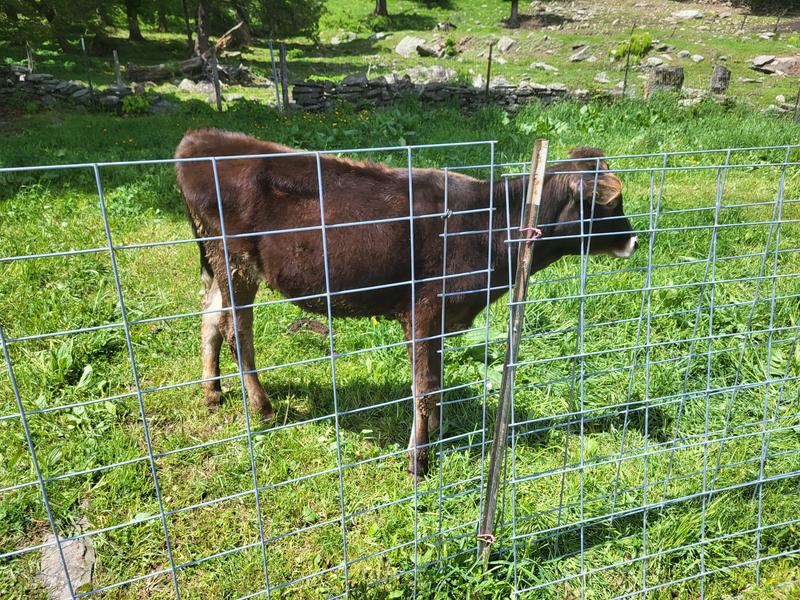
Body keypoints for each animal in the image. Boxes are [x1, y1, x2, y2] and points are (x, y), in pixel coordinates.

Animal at [175, 128, 638, 480]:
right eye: (610, 204)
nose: (634, 239)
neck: (490, 225)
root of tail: (201, 140)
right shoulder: (425, 309)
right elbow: (426, 387)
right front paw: (419, 460)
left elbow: (436, 382)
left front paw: (437, 433)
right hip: (235, 260)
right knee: (237, 330)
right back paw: (262, 405)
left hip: (222, 262)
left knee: (211, 318)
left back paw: (212, 391)